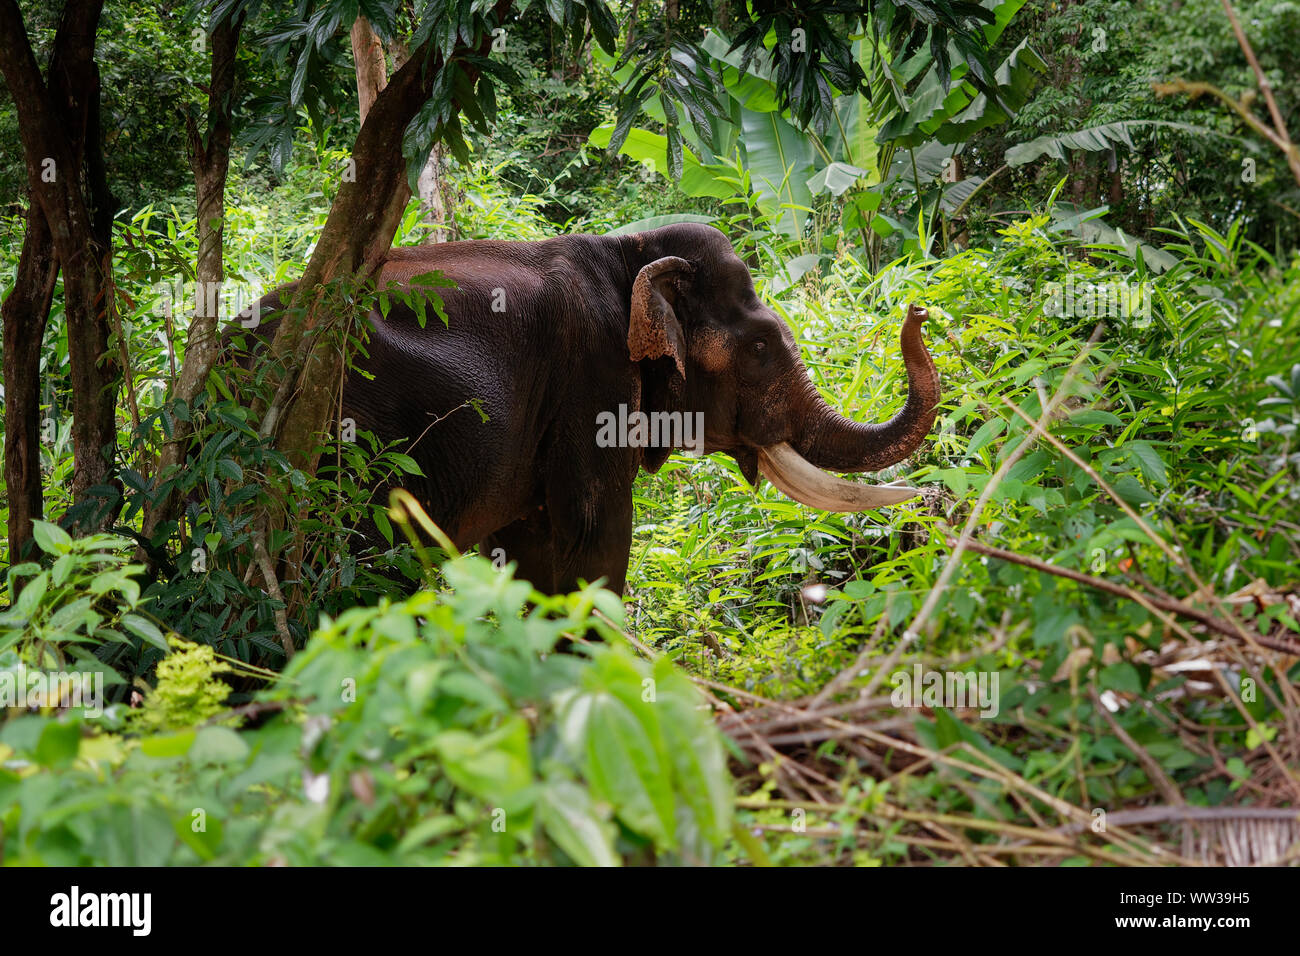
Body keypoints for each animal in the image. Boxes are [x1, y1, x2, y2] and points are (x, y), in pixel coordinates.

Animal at [230, 223, 940, 595]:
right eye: (762, 346)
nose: (917, 310)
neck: (629, 249)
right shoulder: (589, 383)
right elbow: (595, 539)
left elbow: (529, 549)